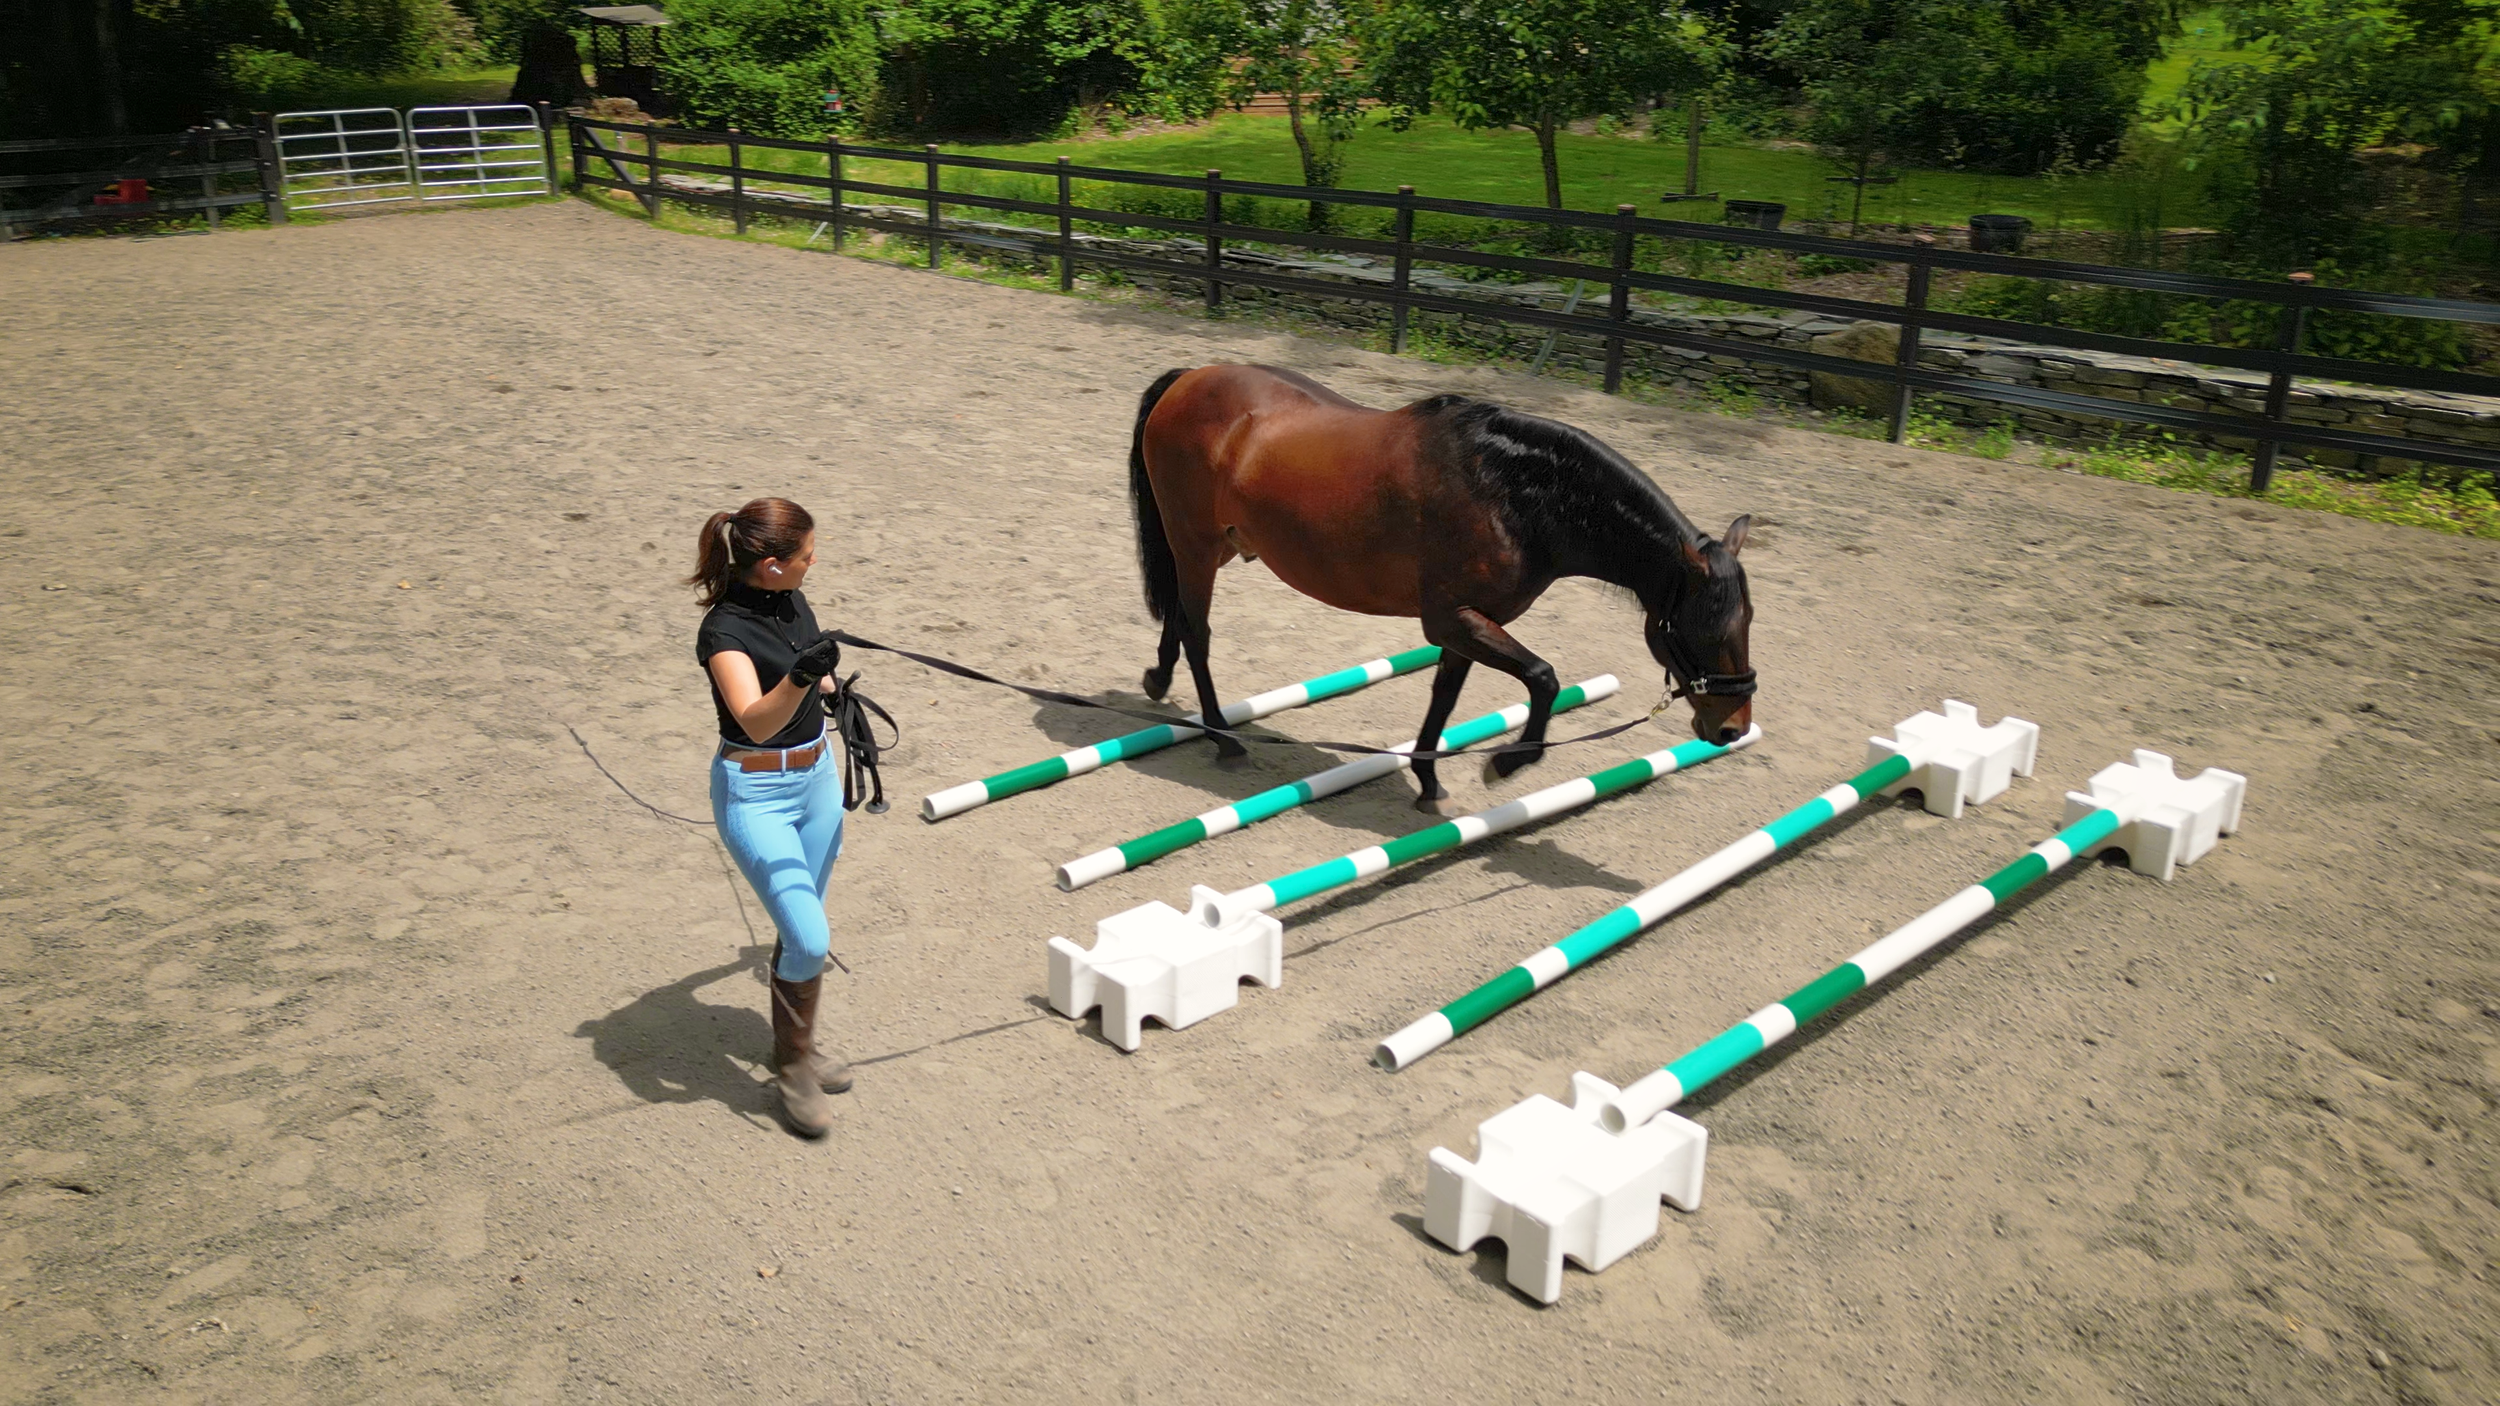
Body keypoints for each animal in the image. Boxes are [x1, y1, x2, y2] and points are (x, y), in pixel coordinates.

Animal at [1126, 363, 1756, 813]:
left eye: (1747, 623)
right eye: (1703, 629)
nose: (1733, 727)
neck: (1511, 492)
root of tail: (1190, 377)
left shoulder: (1467, 623)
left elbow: (1445, 696)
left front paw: (1427, 779)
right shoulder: (1453, 618)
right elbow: (1544, 678)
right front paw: (1506, 763)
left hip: (1217, 547)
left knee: (1176, 616)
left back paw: (1158, 679)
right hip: (1195, 546)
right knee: (1197, 631)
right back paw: (1222, 737)